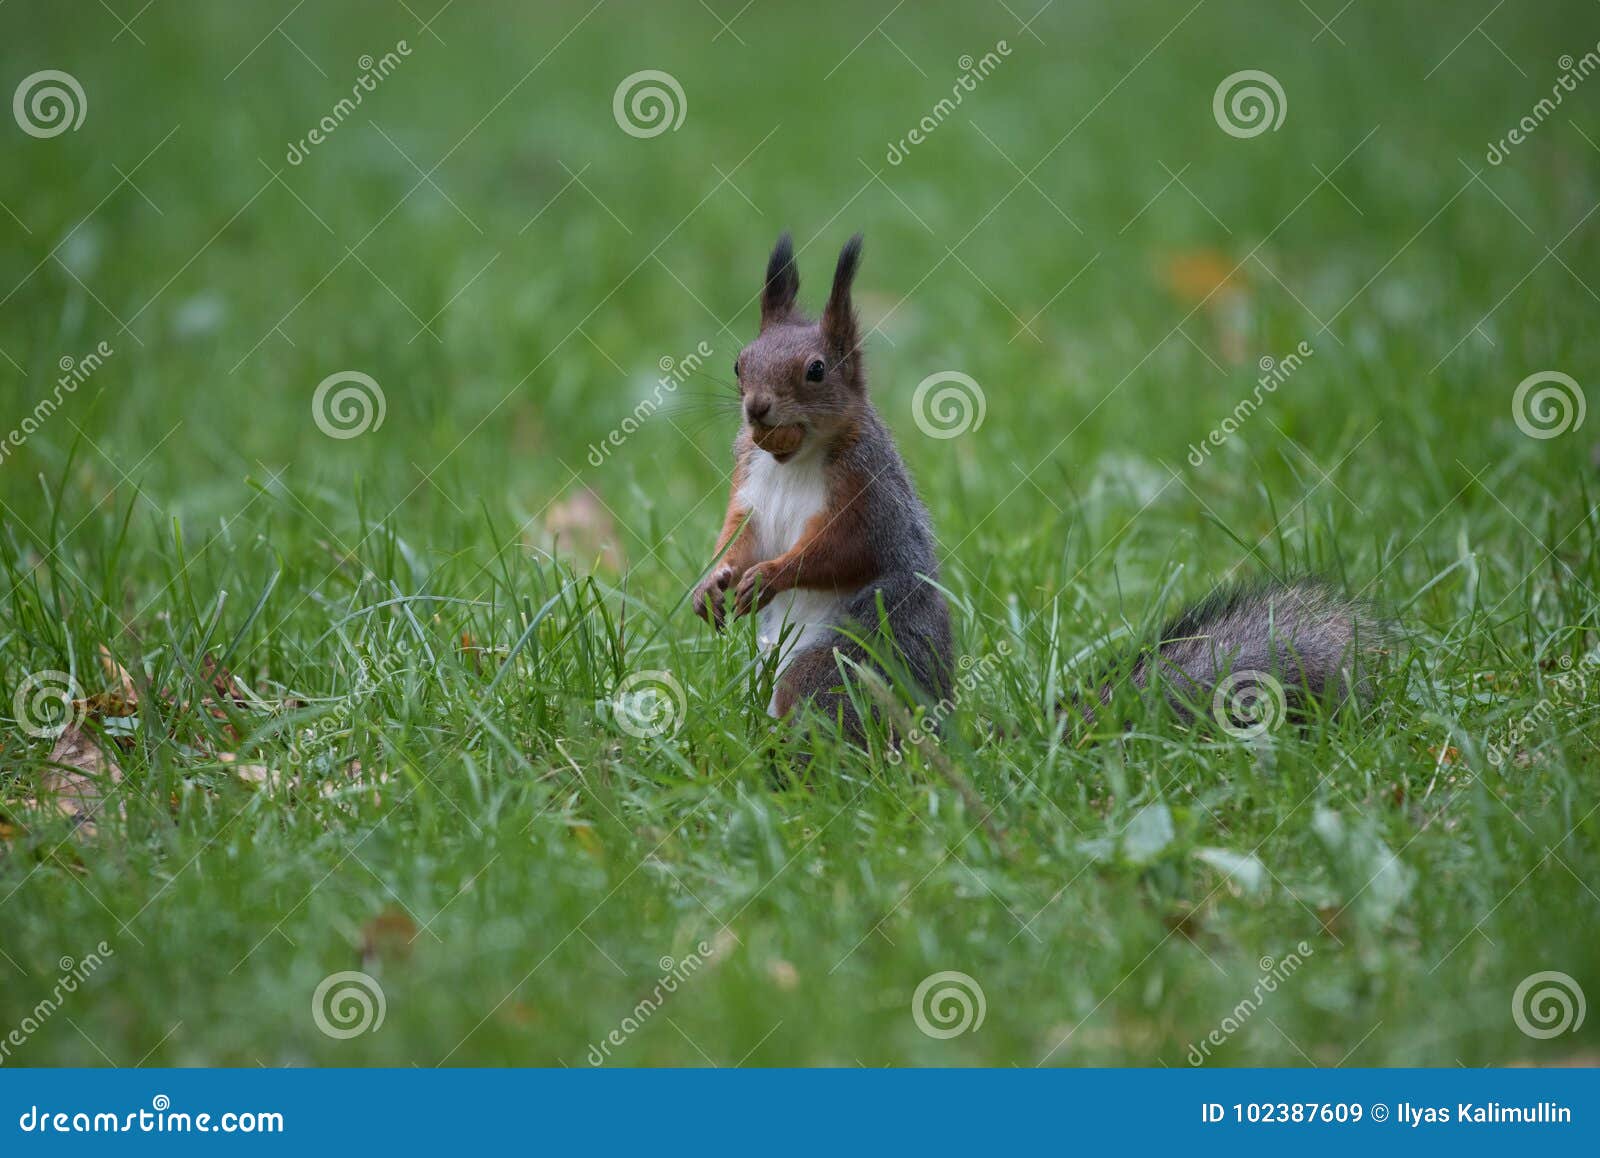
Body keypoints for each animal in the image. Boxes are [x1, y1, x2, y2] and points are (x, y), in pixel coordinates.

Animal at [693, 232, 1382, 743]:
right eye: (738, 362)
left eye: (816, 371)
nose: (756, 409)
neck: (792, 458)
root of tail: (941, 730)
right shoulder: (749, 482)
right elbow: (738, 535)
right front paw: (712, 583)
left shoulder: (868, 493)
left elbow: (841, 551)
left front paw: (770, 576)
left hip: (843, 663)